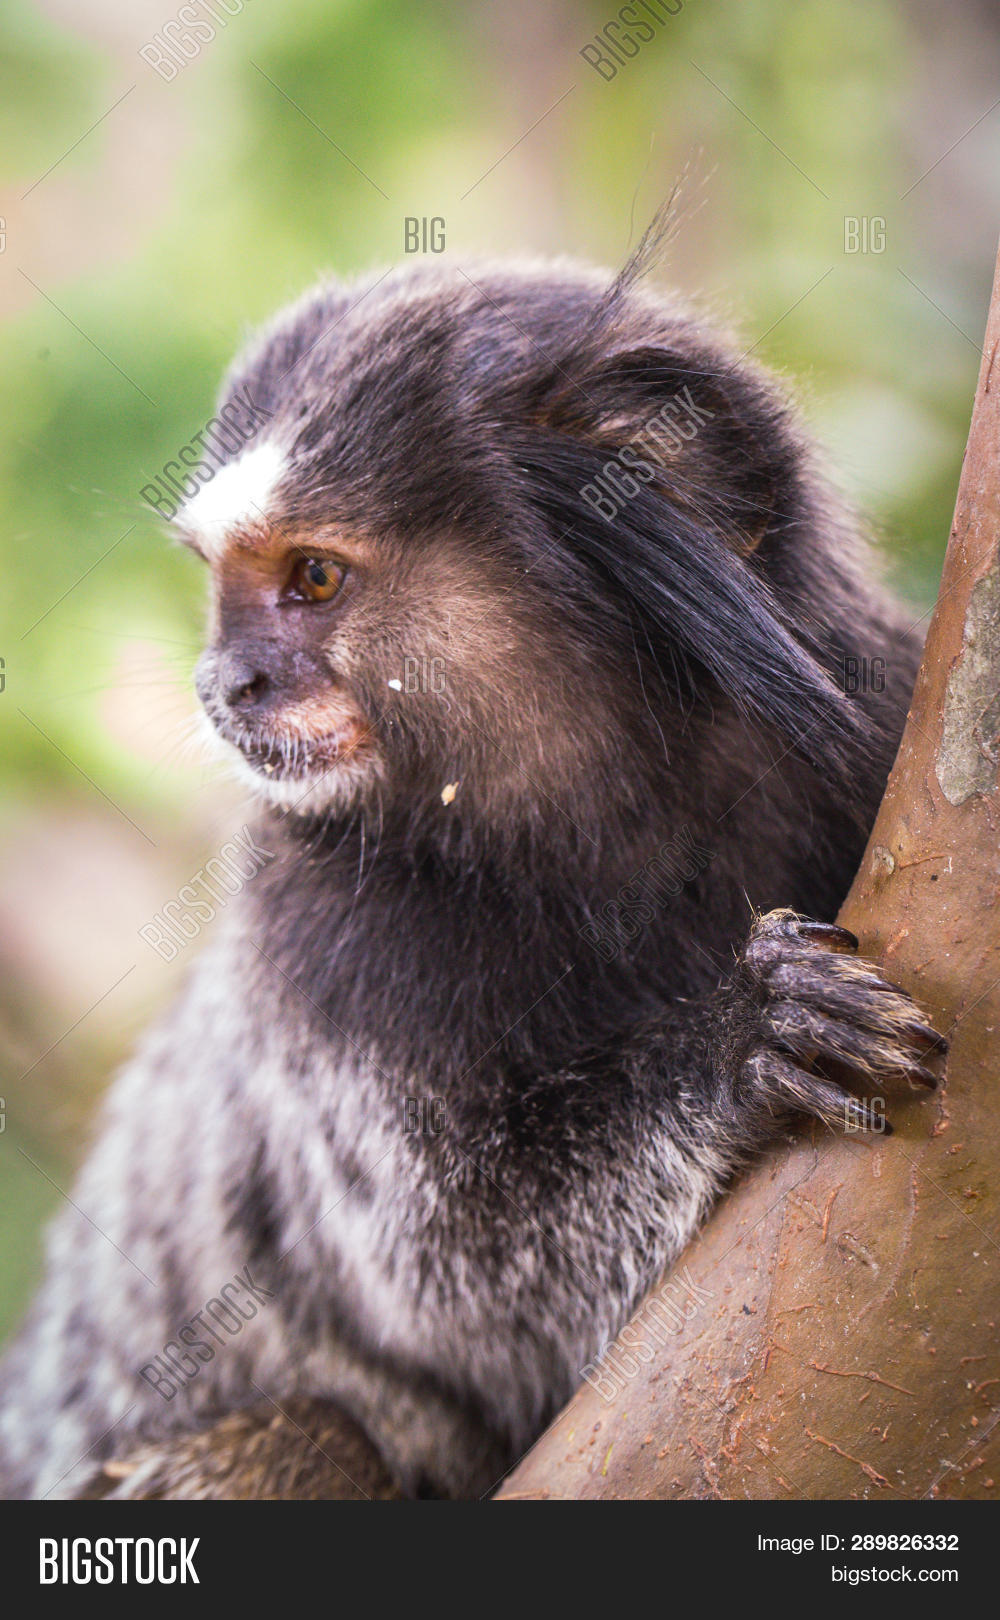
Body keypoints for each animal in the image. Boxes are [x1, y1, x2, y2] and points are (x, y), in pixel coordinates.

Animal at [0, 225, 947, 1500]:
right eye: (226, 585)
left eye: (311, 578)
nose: (224, 684)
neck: (615, 808)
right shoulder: (313, 939)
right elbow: (466, 1284)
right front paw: (737, 1040)